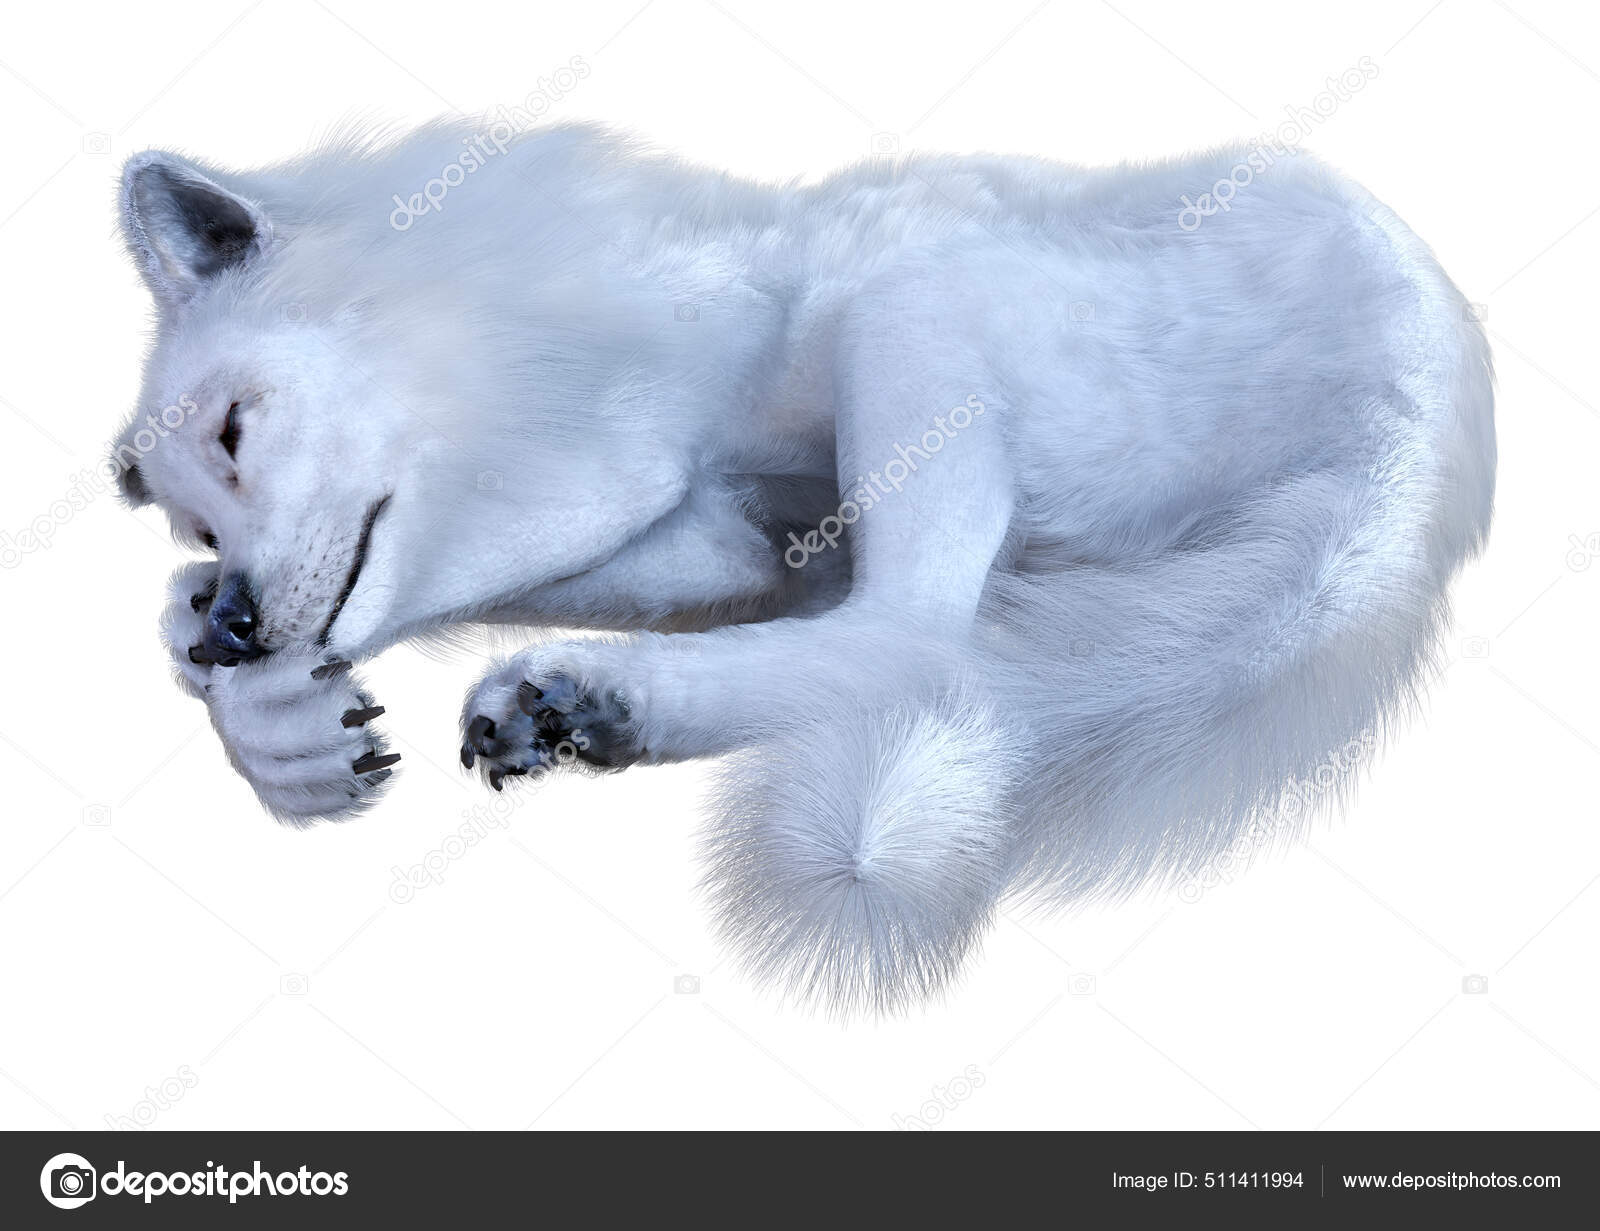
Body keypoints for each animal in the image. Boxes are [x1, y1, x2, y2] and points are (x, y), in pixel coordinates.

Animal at [109, 122, 1494, 1015]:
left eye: (234, 430)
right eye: (194, 525)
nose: (236, 621)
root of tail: (1424, 419)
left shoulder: (610, 464)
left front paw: (246, 690)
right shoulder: (720, 532)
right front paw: (263, 718)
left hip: (917, 312)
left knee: (921, 633)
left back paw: (596, 695)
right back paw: (587, 707)